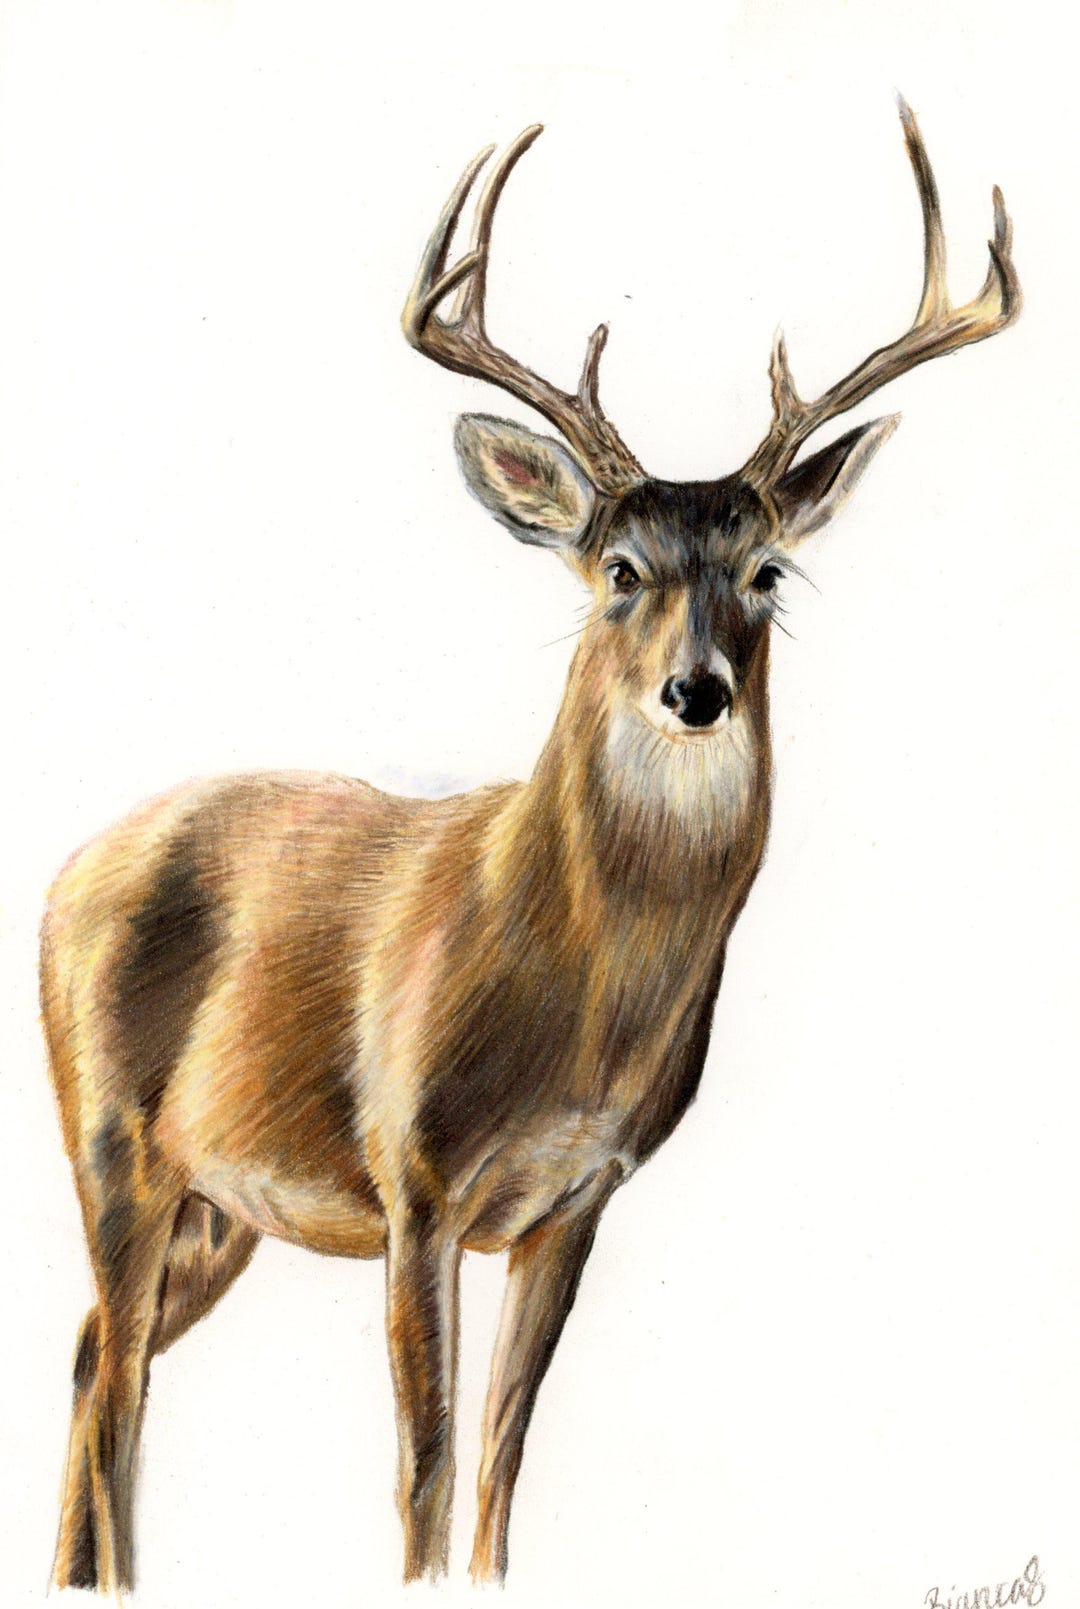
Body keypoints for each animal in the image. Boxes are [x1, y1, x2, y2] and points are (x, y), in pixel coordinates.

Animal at [44, 98, 1019, 1595]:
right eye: (619, 571)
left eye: (765, 573)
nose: (695, 690)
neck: (573, 1001)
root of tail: (63, 875)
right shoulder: (415, 1179)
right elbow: (426, 1476)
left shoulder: (576, 1199)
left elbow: (501, 1469)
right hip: (109, 1136)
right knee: (109, 1388)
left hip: (220, 1206)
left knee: (100, 1354)